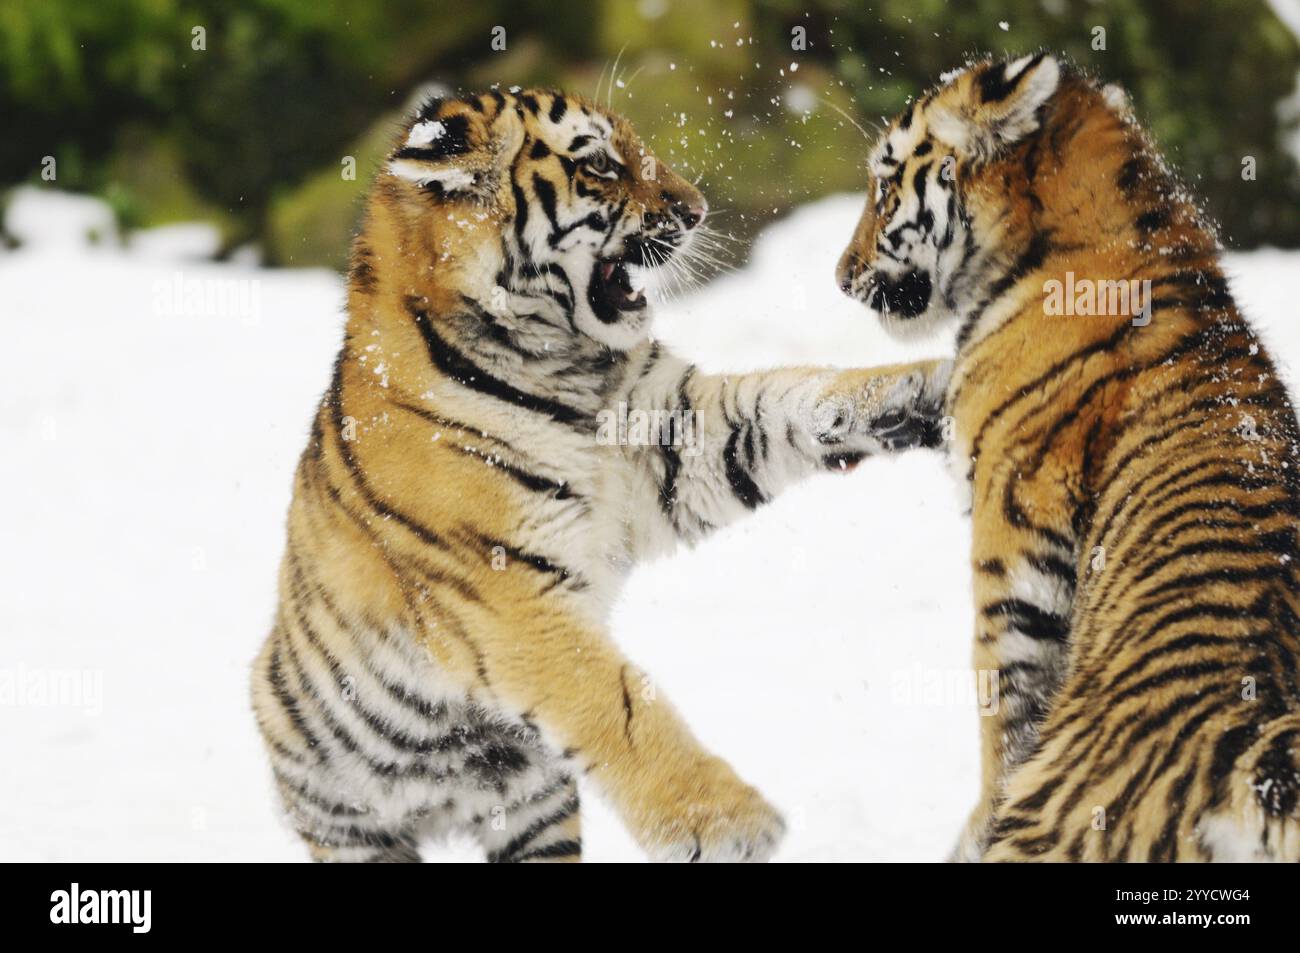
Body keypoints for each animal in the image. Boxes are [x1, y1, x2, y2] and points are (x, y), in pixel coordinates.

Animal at [250, 86, 948, 862]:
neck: (566, 372)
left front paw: (929, 385)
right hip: (353, 825)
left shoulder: (680, 441)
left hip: (535, 809)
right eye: (602, 164)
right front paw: (726, 822)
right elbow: (616, 704)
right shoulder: (507, 589)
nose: (698, 208)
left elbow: (796, 396)